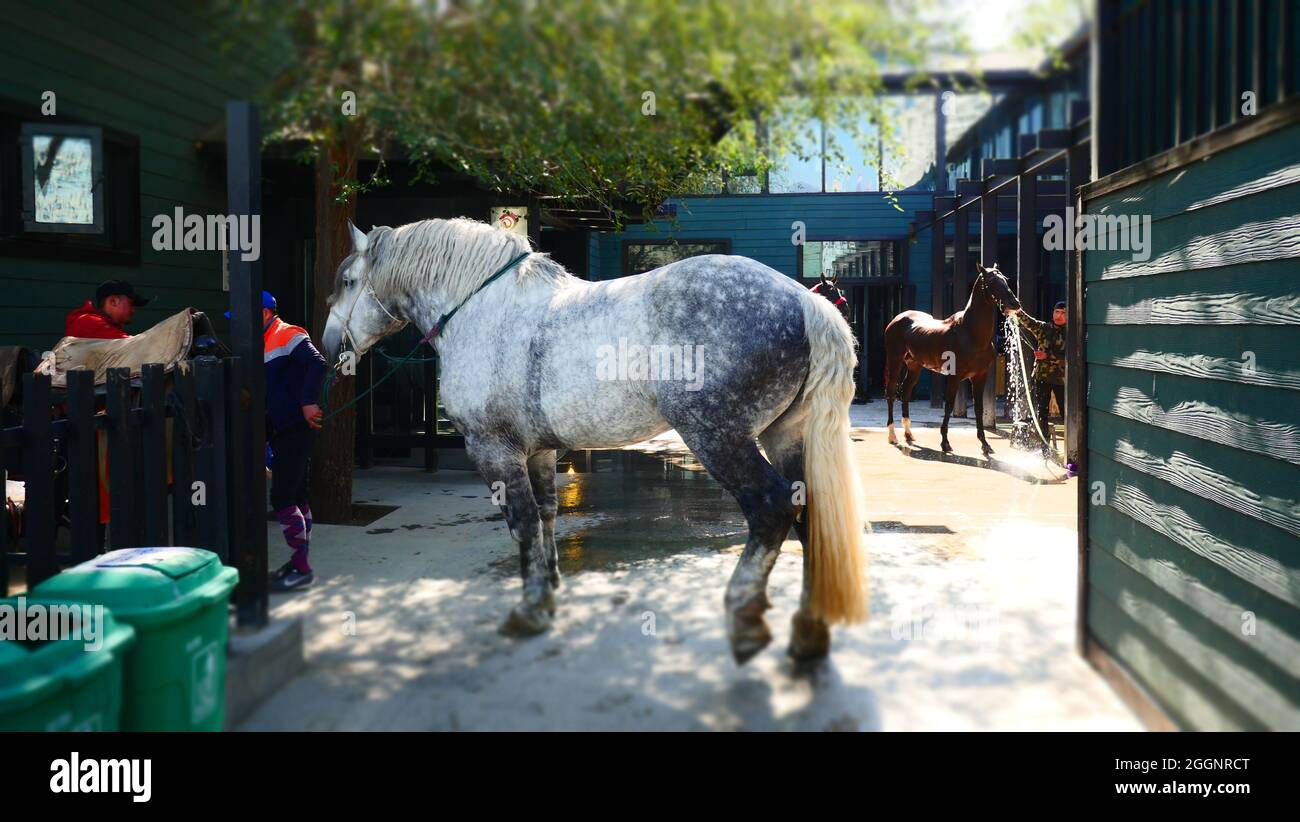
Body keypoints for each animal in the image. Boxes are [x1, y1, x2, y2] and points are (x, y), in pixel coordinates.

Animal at [322, 218, 867, 665]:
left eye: (348, 282)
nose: (329, 348)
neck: (482, 310)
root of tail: (804, 300)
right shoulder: (539, 452)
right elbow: (545, 516)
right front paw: (548, 592)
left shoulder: (494, 451)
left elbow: (522, 522)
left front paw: (529, 610)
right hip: (785, 438)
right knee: (809, 514)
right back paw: (809, 633)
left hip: (719, 439)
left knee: (772, 509)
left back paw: (746, 617)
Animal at [883, 262, 1021, 455]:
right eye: (992, 281)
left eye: (1005, 280)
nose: (1015, 303)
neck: (970, 333)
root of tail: (897, 319)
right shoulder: (954, 377)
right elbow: (948, 405)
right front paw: (945, 443)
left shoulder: (980, 376)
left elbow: (979, 408)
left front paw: (985, 444)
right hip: (895, 361)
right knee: (891, 393)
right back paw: (892, 435)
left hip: (914, 366)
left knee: (906, 393)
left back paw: (909, 434)